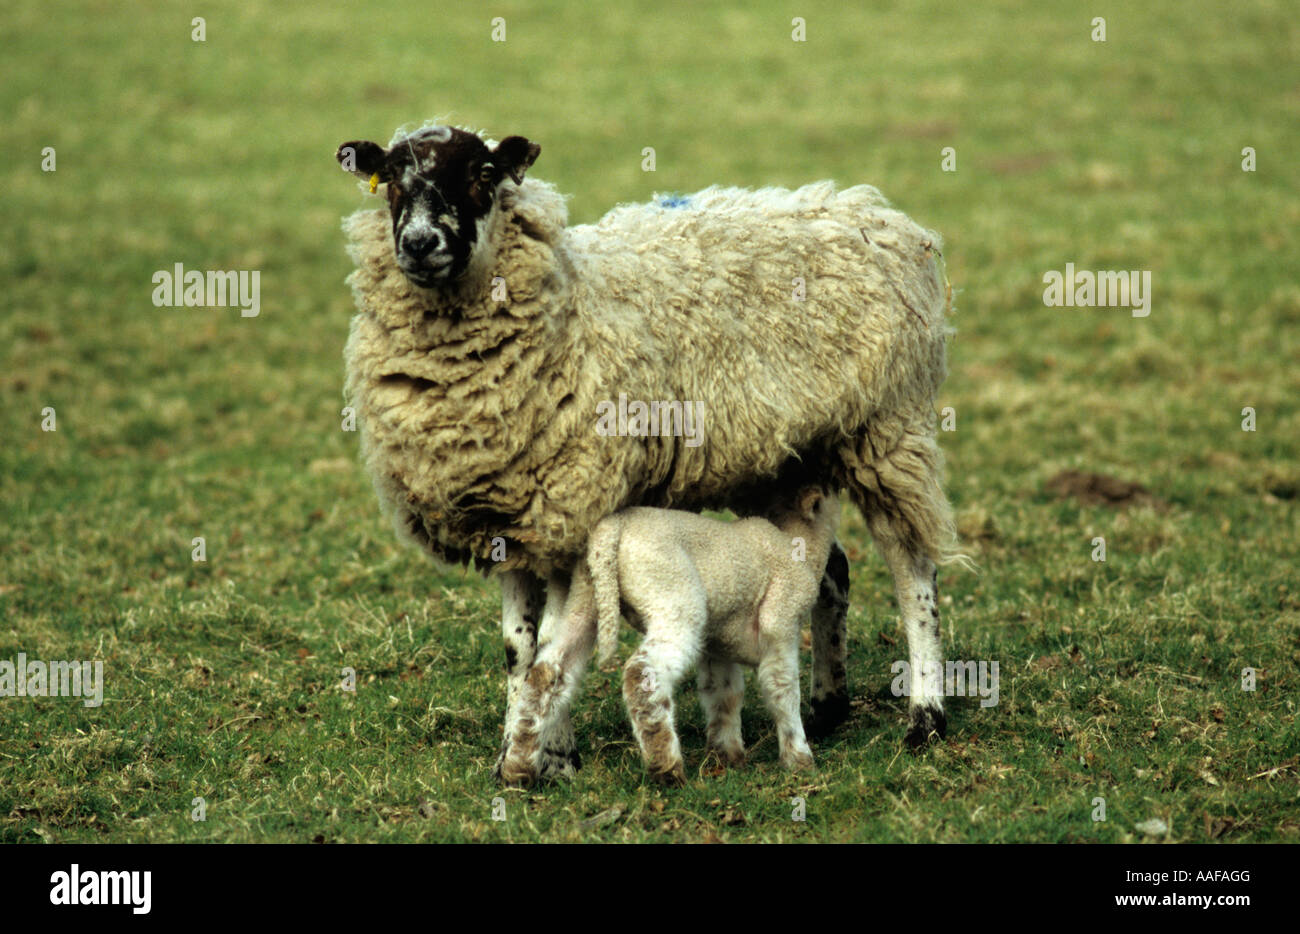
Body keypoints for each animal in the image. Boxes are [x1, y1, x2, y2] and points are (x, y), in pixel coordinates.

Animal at [499, 487, 840, 785]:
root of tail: (611, 528)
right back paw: (666, 766)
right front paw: (800, 759)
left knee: (547, 673)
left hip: (585, 596)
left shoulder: (718, 644)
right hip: (673, 596)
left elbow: (723, 694)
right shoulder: (780, 624)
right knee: (642, 674)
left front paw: (726, 755)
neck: (796, 545)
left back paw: (518, 767)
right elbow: (782, 691)